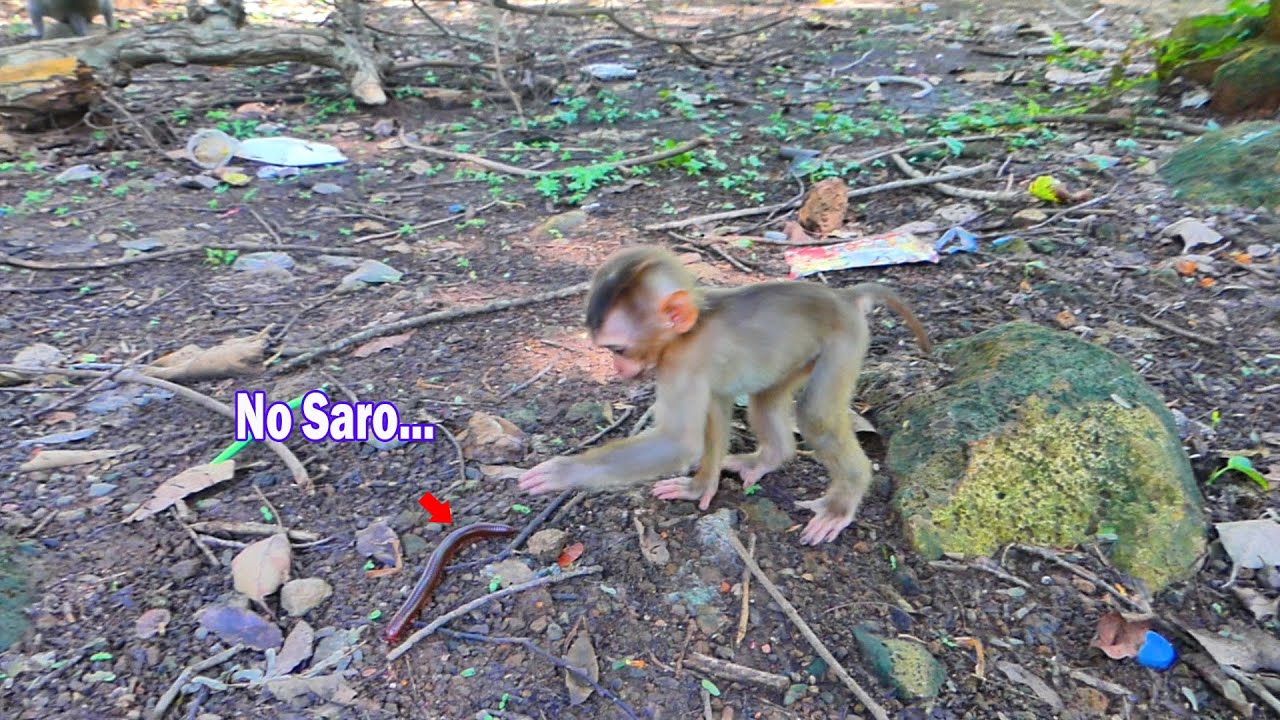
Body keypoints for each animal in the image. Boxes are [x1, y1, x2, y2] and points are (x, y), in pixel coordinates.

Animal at [517, 246, 931, 545]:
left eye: (618, 350)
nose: (616, 369)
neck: (688, 330)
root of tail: (843, 297)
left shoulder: (680, 364)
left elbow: (678, 441)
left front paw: (563, 472)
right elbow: (715, 407)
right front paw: (700, 486)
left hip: (844, 341)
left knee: (815, 414)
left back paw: (842, 503)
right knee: (765, 401)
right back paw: (768, 458)